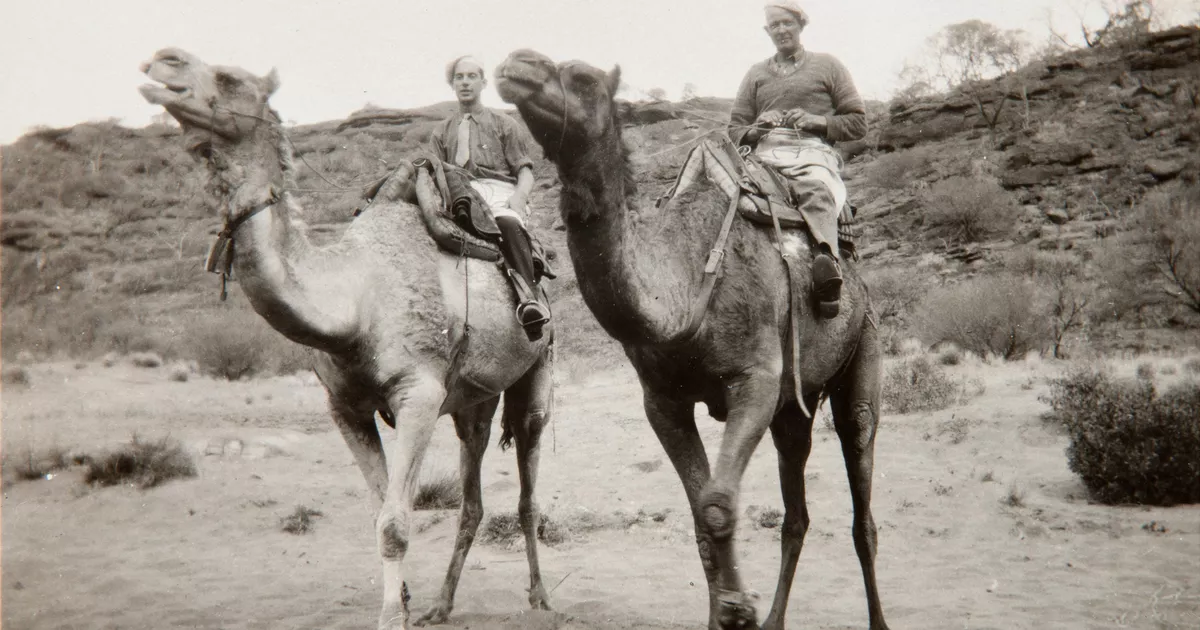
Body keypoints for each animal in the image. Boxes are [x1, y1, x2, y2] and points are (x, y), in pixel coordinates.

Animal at [139, 48, 556, 629]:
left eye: (229, 78)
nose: (162, 63)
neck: (353, 301)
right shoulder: (345, 407)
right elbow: (381, 510)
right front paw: (405, 603)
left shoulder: (419, 394)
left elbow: (395, 524)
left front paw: (392, 616)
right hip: (474, 399)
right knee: (472, 492)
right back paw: (441, 605)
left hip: (537, 370)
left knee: (528, 490)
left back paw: (540, 598)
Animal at [495, 50, 890, 630]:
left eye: (584, 77)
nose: (517, 64)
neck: (682, 289)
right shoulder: (663, 401)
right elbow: (700, 516)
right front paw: (729, 610)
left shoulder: (754, 381)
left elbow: (718, 506)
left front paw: (737, 607)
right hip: (793, 406)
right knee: (796, 510)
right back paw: (775, 618)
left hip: (863, 346)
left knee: (863, 493)